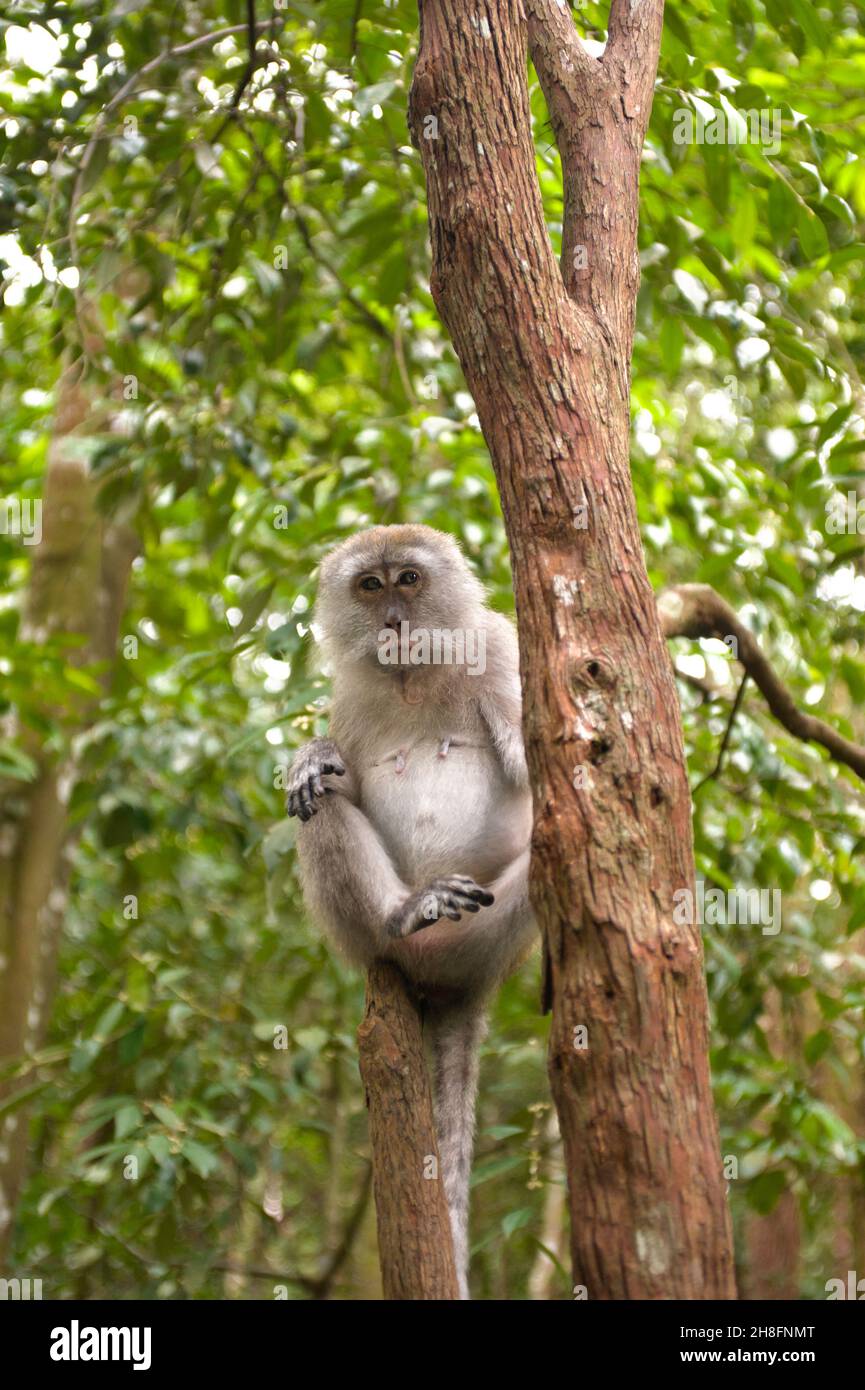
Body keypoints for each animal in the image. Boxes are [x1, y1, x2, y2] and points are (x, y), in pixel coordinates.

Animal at [286, 524, 535, 1299]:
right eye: (370, 587)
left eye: (409, 580)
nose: (394, 622)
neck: (413, 677)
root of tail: (458, 981)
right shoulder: (349, 698)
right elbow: (337, 778)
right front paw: (312, 753)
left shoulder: (503, 654)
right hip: (365, 941)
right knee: (323, 806)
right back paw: (403, 914)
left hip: (490, 933)